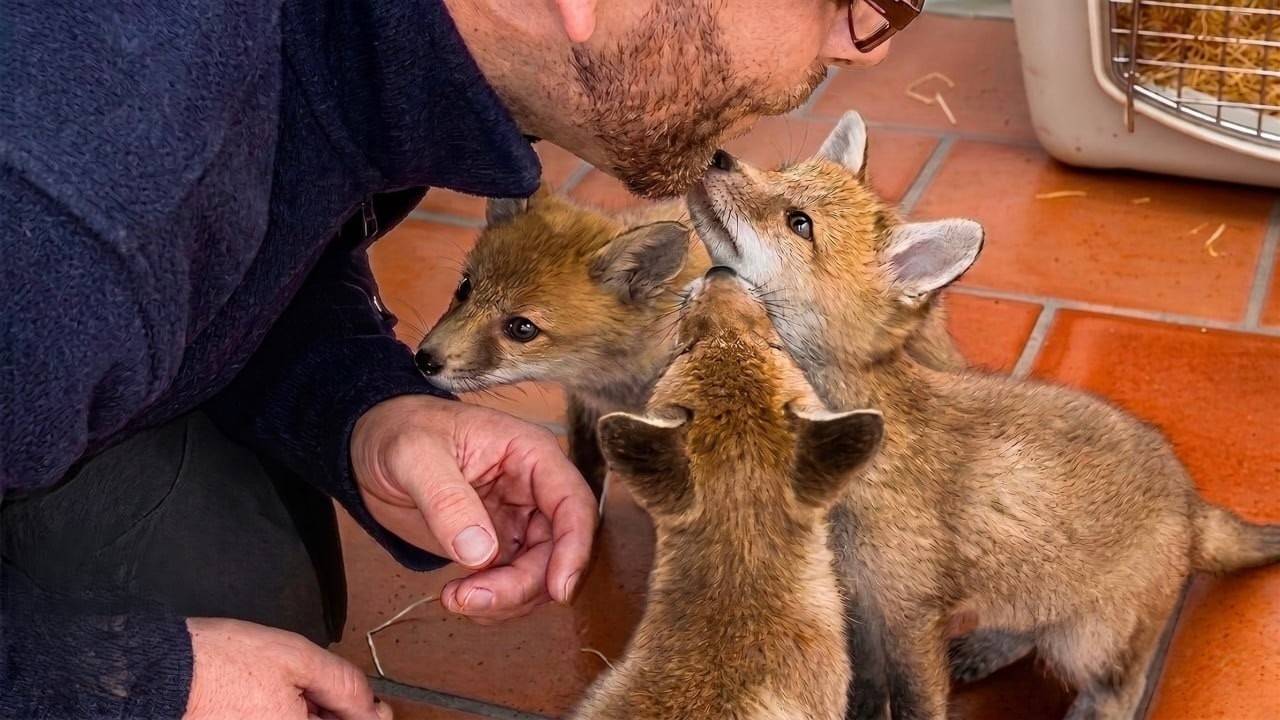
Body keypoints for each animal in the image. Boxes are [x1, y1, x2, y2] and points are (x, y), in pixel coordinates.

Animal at [414, 184, 966, 507]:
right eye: (464, 288)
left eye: (521, 328)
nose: (424, 360)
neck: (618, 381)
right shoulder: (586, 406)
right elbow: (584, 472)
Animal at [687, 109, 1280, 720]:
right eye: (779, 171)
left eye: (799, 223)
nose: (718, 156)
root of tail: (1192, 502)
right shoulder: (860, 605)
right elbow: (866, 693)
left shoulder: (908, 614)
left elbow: (916, 704)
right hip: (1030, 593)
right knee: (1028, 630)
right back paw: (986, 648)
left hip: (1088, 645)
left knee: (1117, 690)